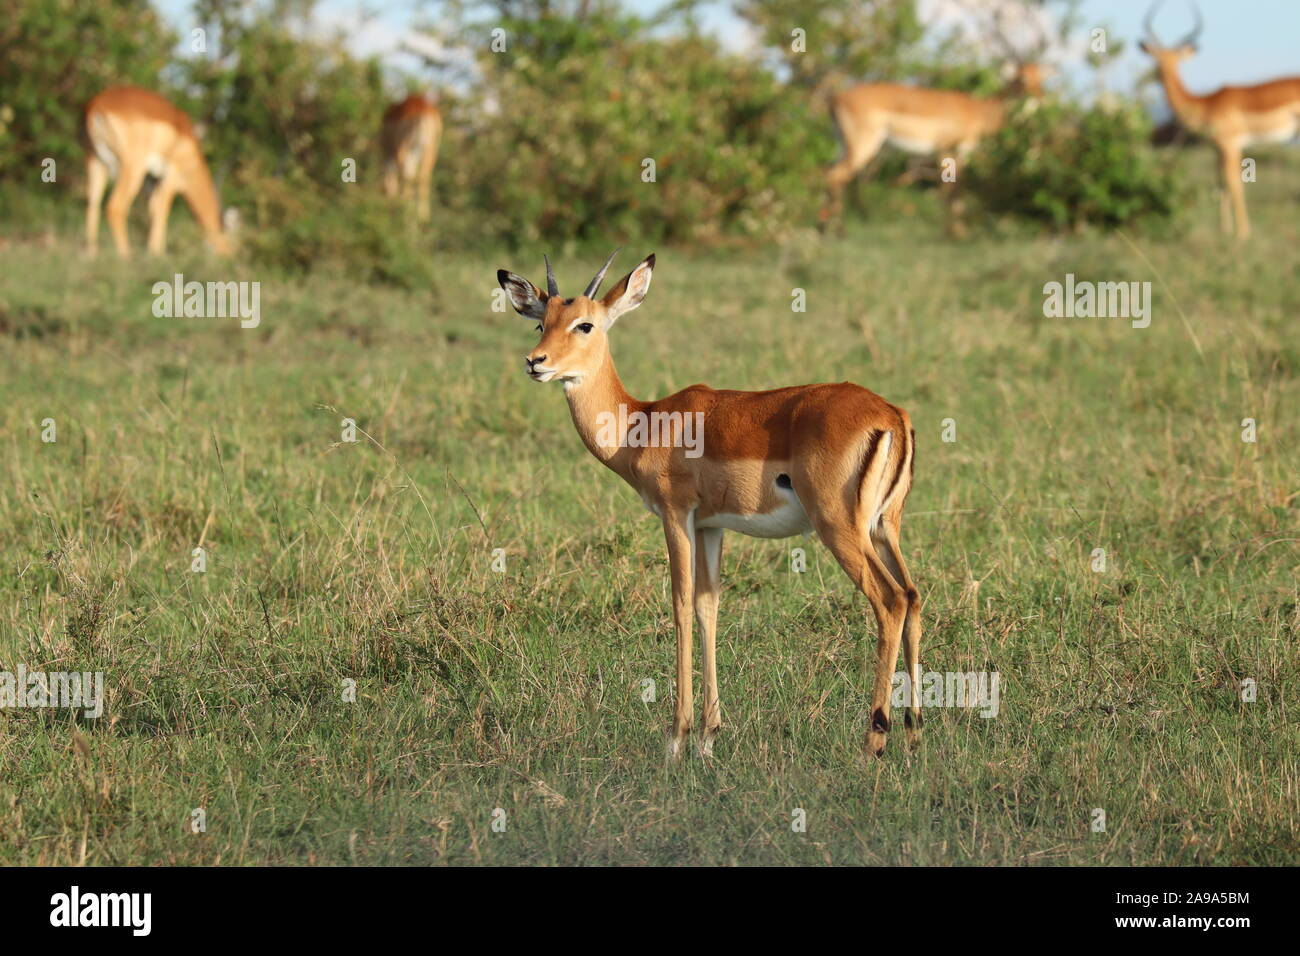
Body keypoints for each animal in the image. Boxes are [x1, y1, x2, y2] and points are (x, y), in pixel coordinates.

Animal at [83, 86, 231, 258]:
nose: (227, 257)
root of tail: (97, 105)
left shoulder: (151, 180)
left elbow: (153, 209)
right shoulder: (172, 175)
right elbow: (162, 208)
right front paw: (157, 253)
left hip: (95, 161)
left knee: (92, 204)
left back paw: (91, 255)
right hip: (132, 167)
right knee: (115, 207)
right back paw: (126, 256)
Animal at [380, 94, 442, 223]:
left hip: (404, 149)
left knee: (407, 175)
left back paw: (404, 212)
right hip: (429, 151)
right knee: (423, 177)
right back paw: (422, 217)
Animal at [498, 252, 923, 758]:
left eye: (585, 324)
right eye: (540, 323)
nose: (535, 362)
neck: (642, 422)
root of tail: (891, 414)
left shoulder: (676, 515)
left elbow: (680, 604)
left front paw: (676, 738)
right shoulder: (710, 526)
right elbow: (708, 606)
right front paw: (708, 736)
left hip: (840, 528)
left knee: (890, 600)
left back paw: (874, 739)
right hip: (883, 528)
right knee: (913, 596)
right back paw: (914, 732)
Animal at [1141, 1, 1300, 240]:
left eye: (1175, 60)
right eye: (1157, 59)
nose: (1160, 75)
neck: (1206, 104)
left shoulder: (1230, 144)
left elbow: (1234, 184)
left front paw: (1243, 233)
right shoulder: (1216, 149)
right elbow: (1220, 183)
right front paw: (1224, 230)